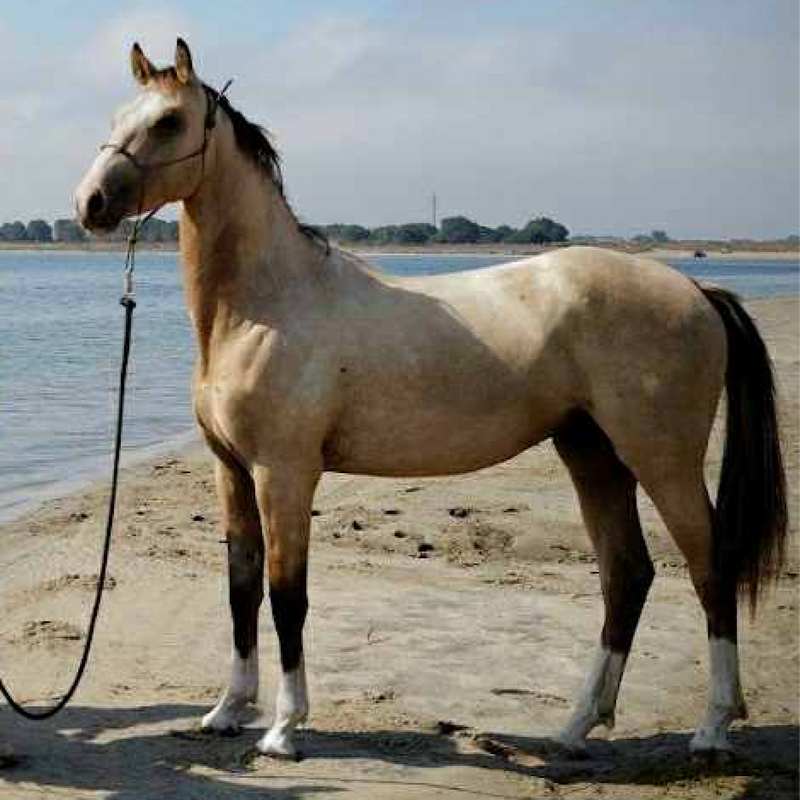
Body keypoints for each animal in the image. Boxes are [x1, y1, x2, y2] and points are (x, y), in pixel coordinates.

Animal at [75, 39, 787, 760]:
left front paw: (282, 727)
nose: (91, 204)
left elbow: (286, 595)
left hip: (661, 460)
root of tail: (698, 290)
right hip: (593, 454)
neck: (268, 303)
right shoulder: (232, 472)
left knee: (709, 569)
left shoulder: (285, 473)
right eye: (118, 114)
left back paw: (711, 729)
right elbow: (241, 587)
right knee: (628, 576)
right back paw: (573, 728)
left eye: (169, 121)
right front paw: (226, 711)